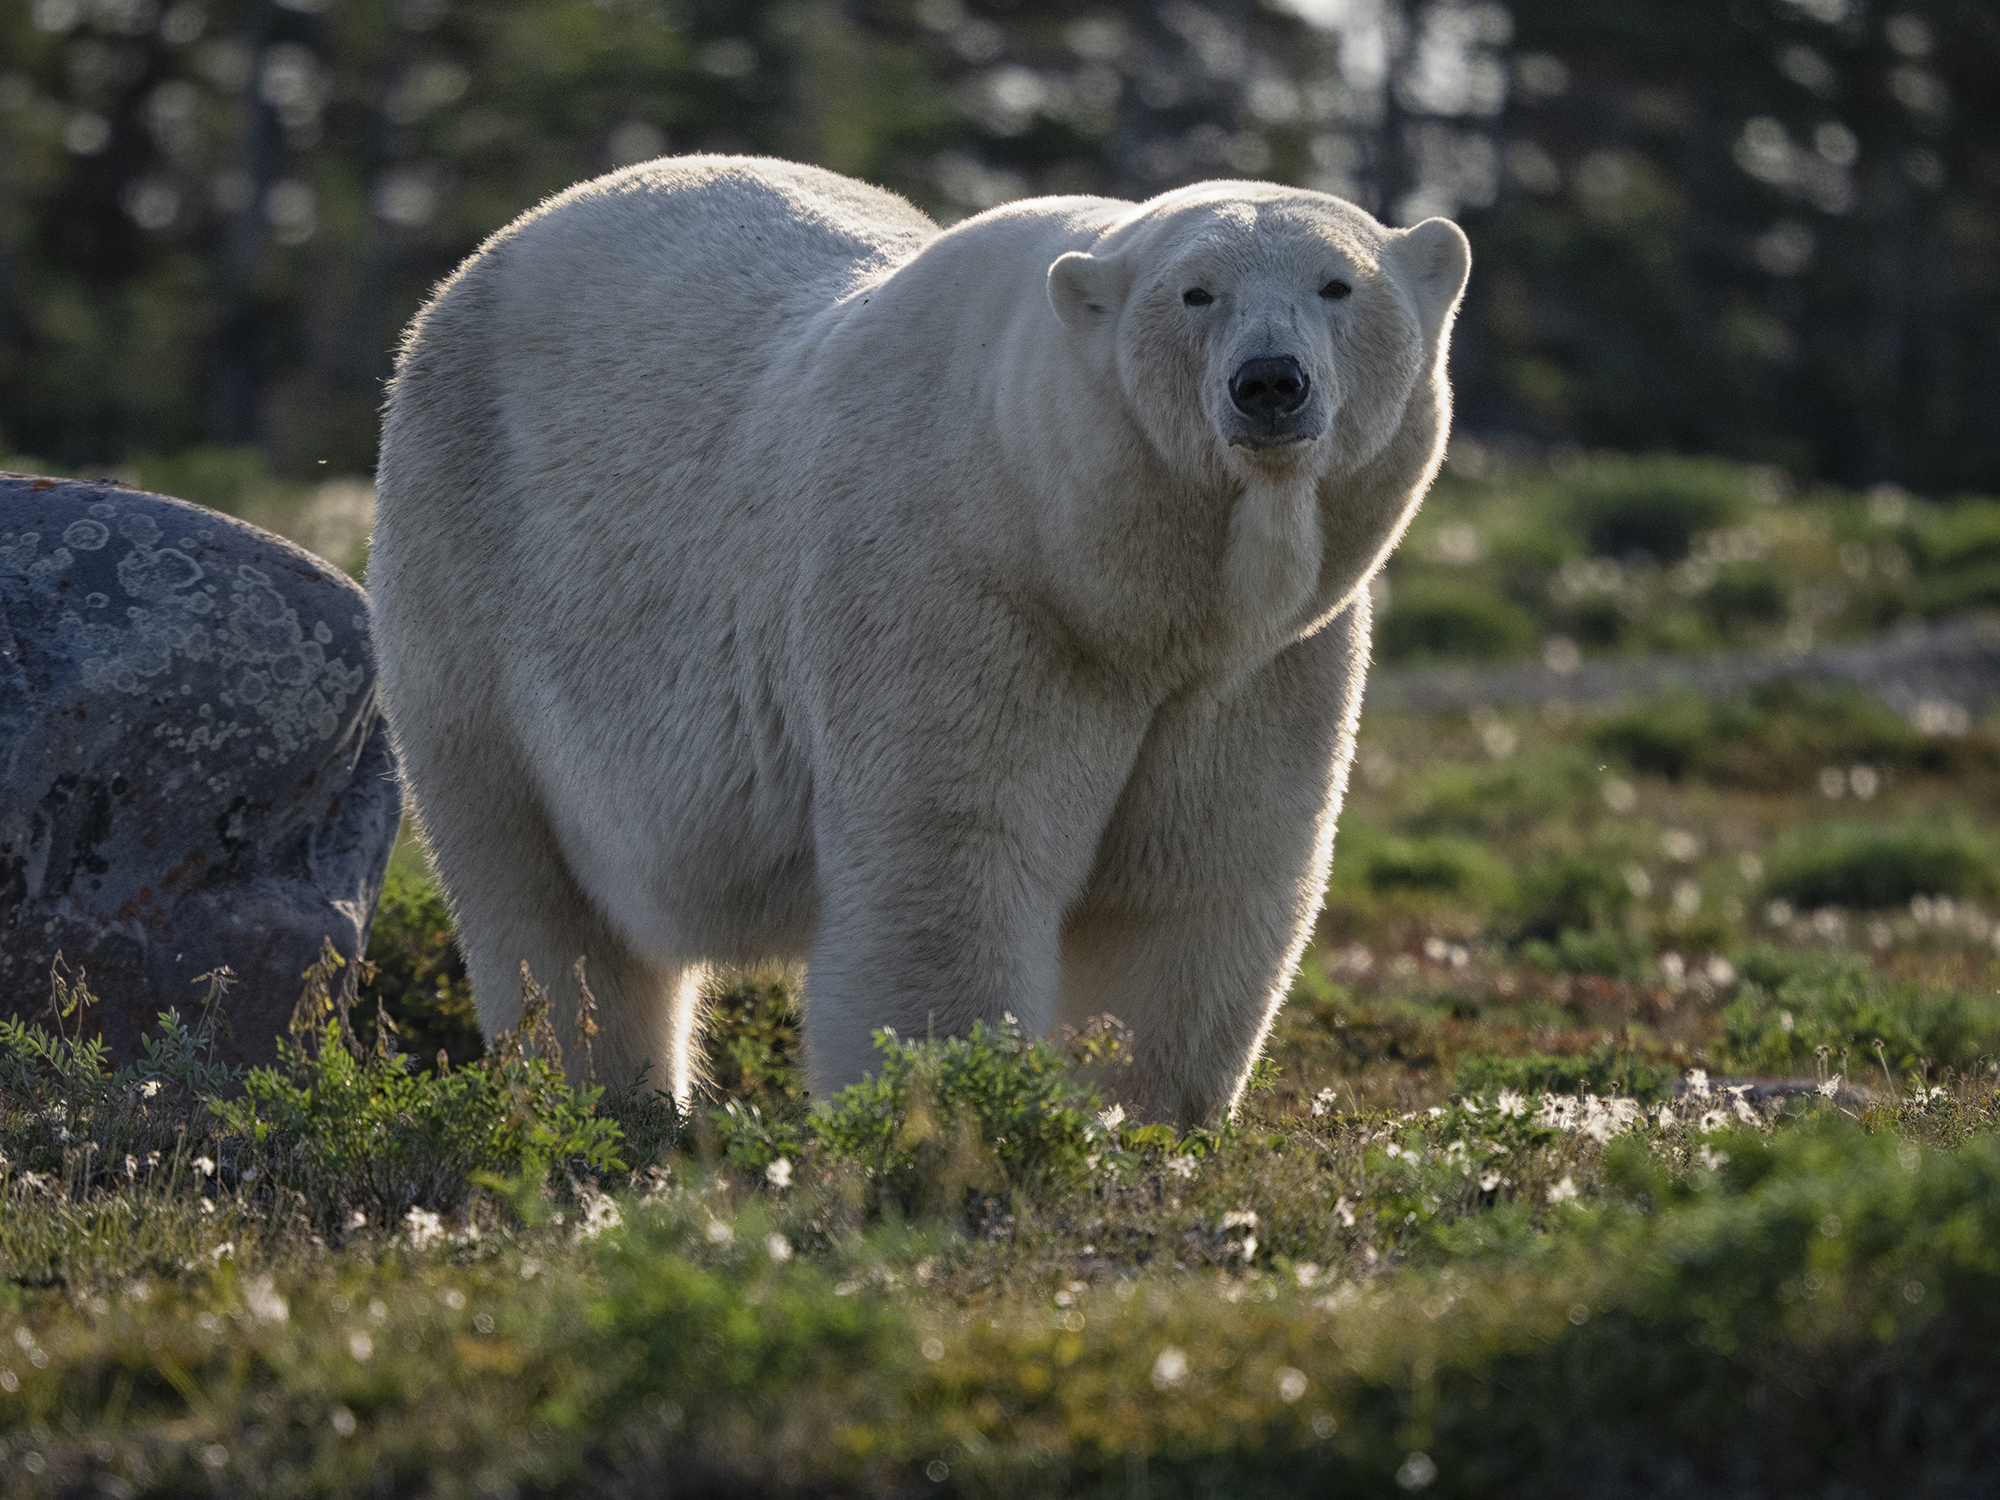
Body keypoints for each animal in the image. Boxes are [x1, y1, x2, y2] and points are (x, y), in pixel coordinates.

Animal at [370, 155, 1468, 1124]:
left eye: (1336, 284)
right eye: (1196, 293)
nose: (1269, 382)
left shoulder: (1262, 663)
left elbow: (1199, 880)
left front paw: (1154, 1120)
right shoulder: (959, 588)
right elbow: (952, 861)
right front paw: (943, 1106)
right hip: (468, 585)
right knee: (533, 891)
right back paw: (606, 1097)